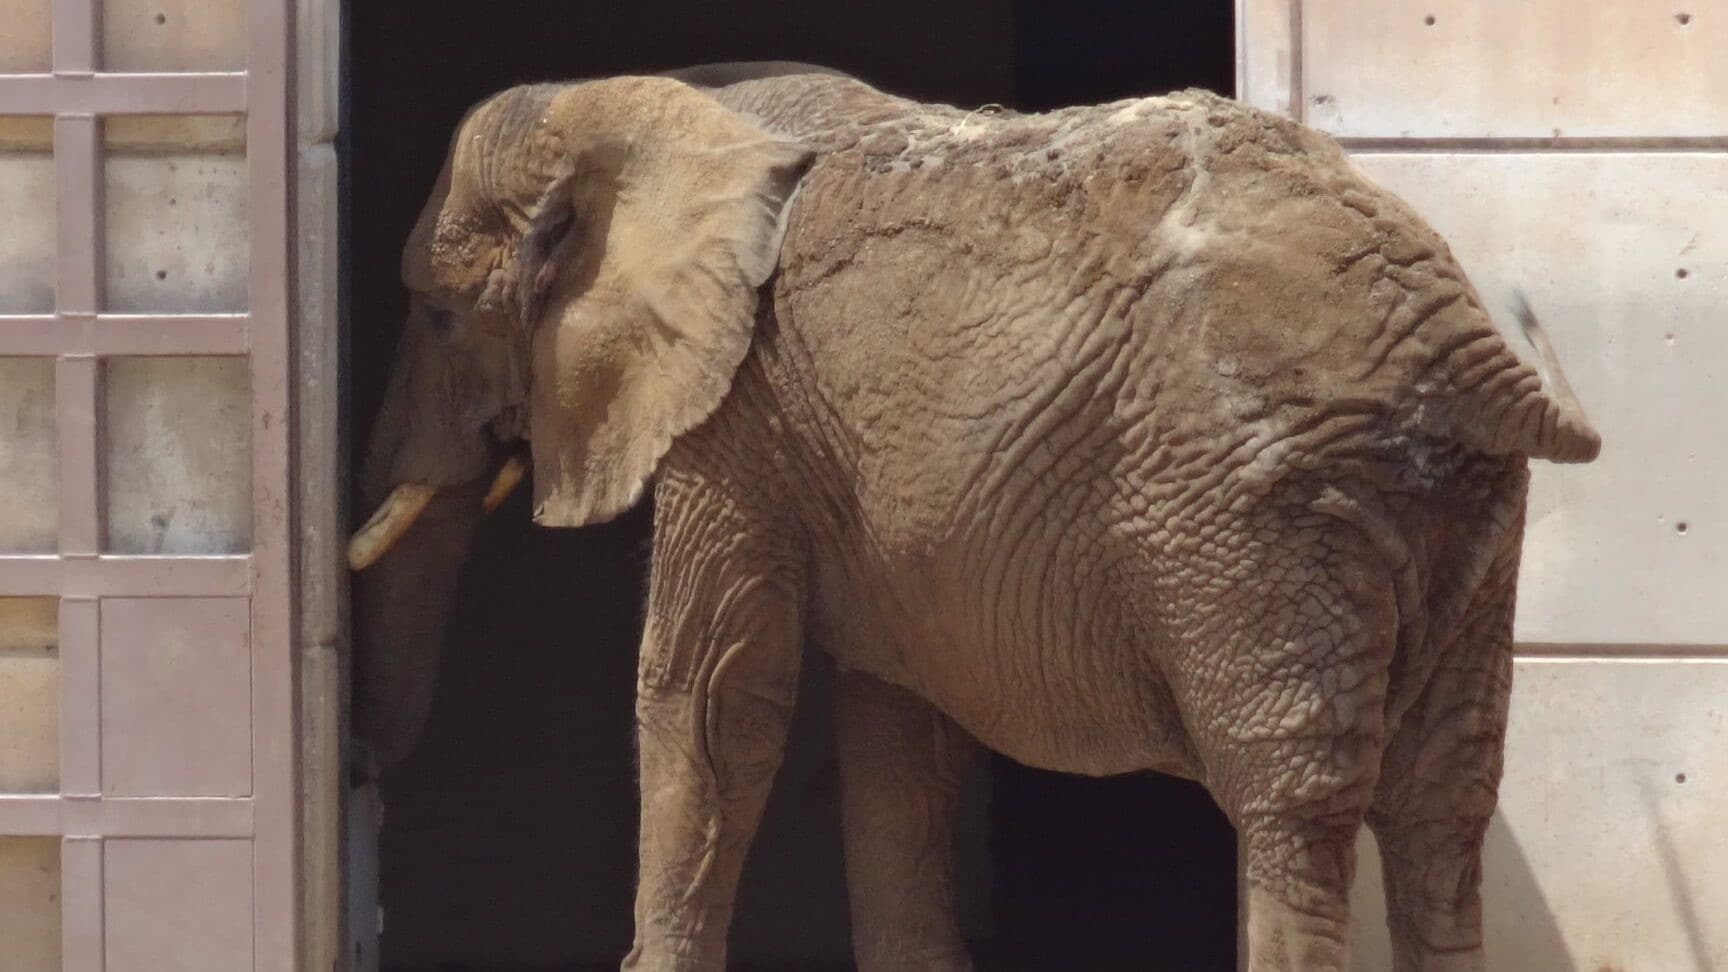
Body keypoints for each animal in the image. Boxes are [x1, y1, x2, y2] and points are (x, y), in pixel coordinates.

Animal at [348, 66, 1599, 972]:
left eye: (439, 316)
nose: (364, 777)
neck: (642, 105)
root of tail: (1462, 338)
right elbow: (893, 743)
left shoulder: (741, 414)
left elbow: (709, 700)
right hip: (1459, 513)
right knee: (1443, 803)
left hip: (1261, 510)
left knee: (1294, 798)